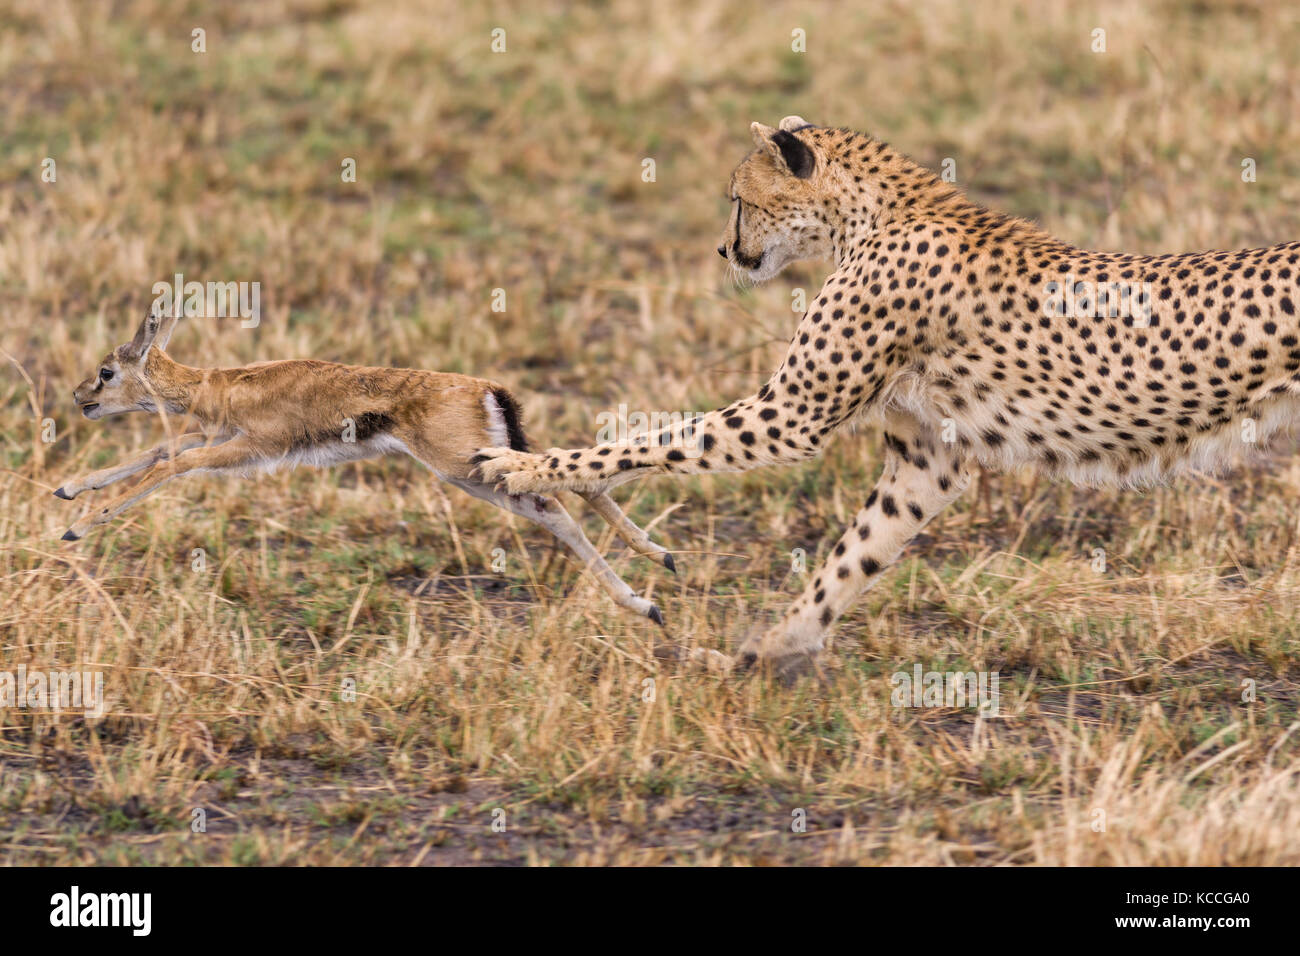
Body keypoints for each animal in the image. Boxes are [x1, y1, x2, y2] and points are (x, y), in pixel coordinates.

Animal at [54, 308, 674, 623]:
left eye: (108, 371)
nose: (80, 397)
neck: (219, 385)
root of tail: (489, 388)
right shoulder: (215, 435)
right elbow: (158, 452)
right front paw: (68, 490)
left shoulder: (241, 450)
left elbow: (169, 467)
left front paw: (77, 527)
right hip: (474, 472)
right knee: (564, 494)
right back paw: (653, 578)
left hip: (465, 466)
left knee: (563, 493)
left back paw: (650, 591)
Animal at [473, 115, 1300, 676]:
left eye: (739, 197)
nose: (723, 249)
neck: (869, 215)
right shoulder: (926, 457)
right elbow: (854, 555)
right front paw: (772, 650)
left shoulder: (790, 416)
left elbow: (653, 439)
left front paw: (524, 466)